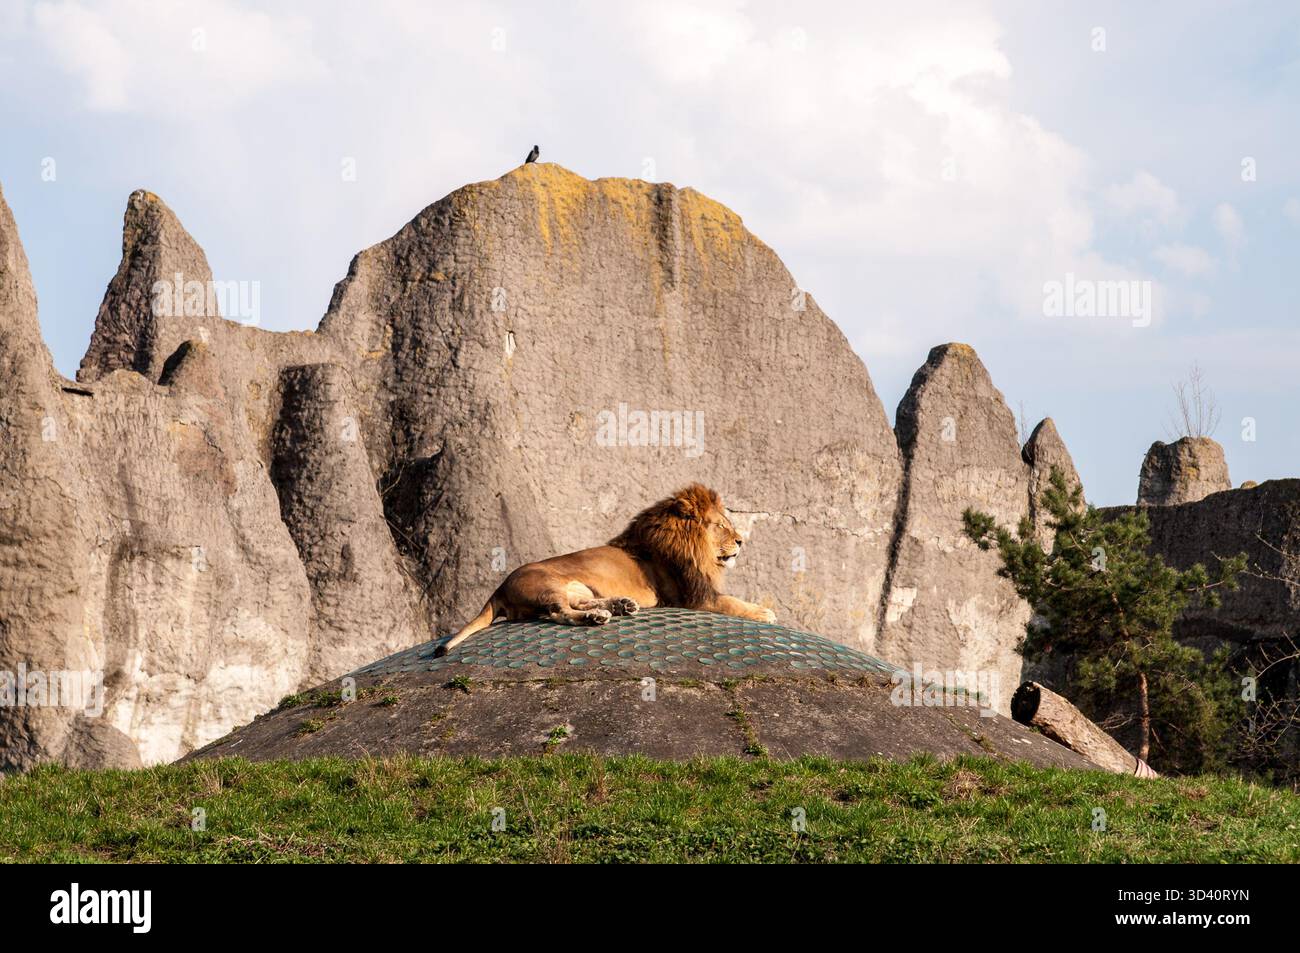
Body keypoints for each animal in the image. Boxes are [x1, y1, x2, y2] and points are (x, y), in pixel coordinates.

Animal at [434, 483, 775, 656]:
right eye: (721, 525)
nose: (741, 541)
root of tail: (499, 587)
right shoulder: (692, 596)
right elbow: (731, 602)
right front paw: (765, 612)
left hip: (577, 585)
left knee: (575, 604)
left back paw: (619, 606)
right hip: (546, 583)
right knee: (557, 612)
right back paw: (597, 617)